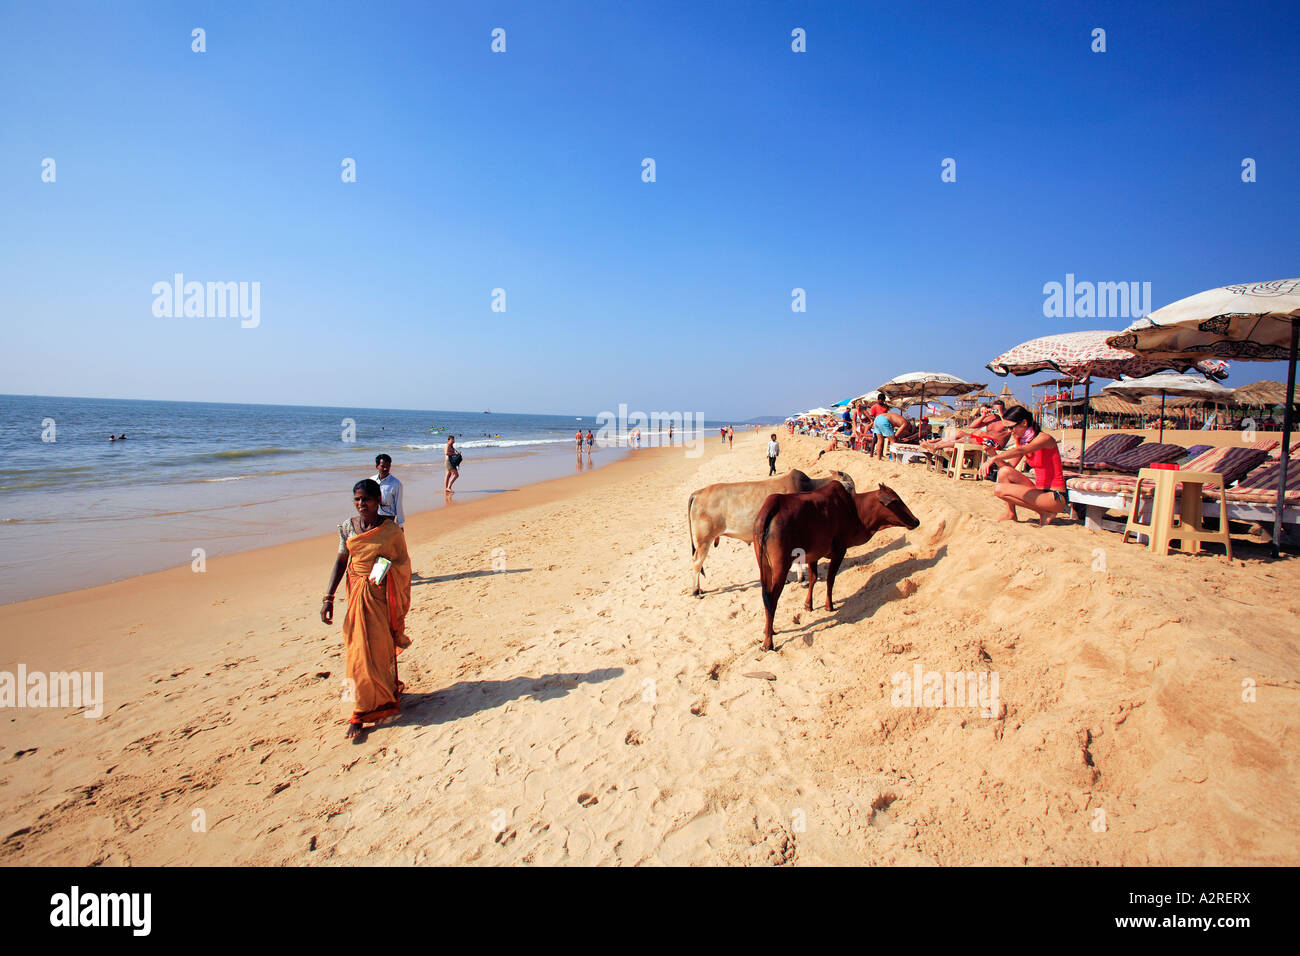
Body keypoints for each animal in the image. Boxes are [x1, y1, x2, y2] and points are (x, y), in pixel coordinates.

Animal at [687, 469, 855, 595]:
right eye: (851, 487)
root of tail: (697, 493)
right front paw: (802, 580)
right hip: (704, 539)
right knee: (696, 562)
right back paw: (696, 591)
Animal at [752, 482, 919, 650]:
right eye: (895, 501)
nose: (916, 521)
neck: (853, 510)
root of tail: (771, 505)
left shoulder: (813, 555)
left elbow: (813, 578)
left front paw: (808, 605)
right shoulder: (839, 551)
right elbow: (830, 579)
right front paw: (829, 606)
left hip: (765, 567)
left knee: (766, 598)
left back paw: (770, 630)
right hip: (781, 567)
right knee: (772, 598)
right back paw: (768, 642)